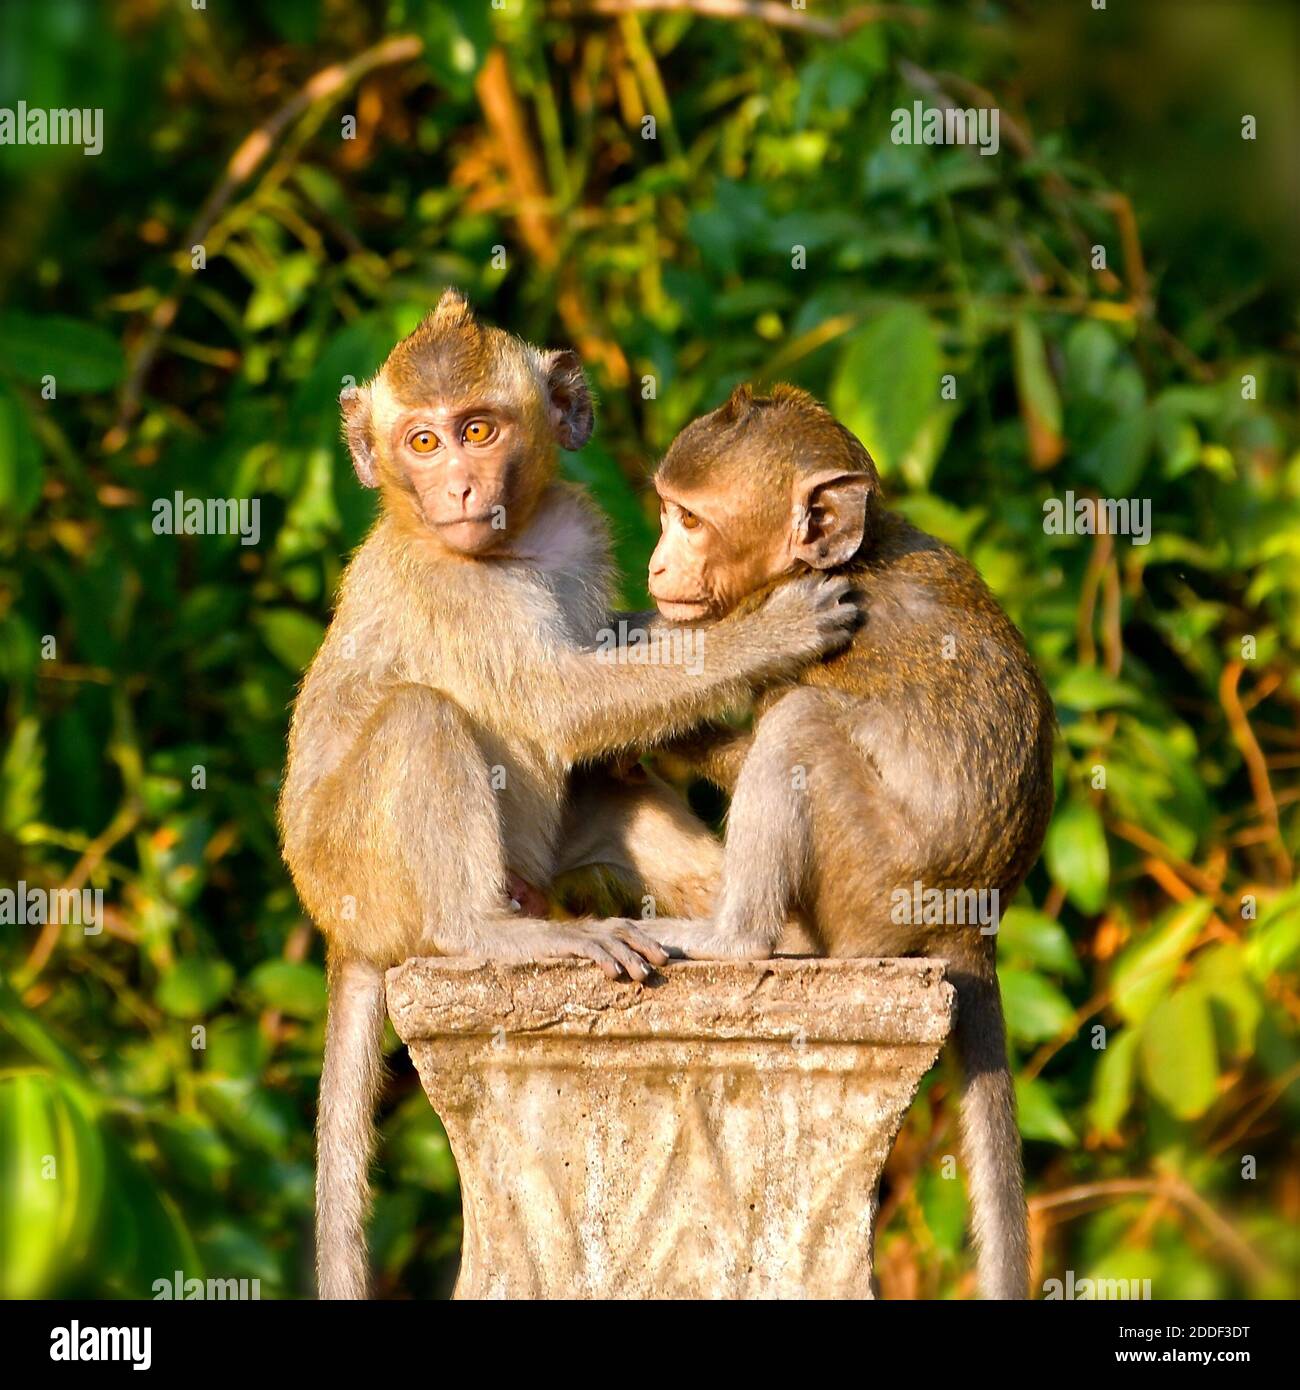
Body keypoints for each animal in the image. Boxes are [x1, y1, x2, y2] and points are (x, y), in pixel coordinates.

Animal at [277, 297, 859, 1299]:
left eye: (477, 431)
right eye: (422, 442)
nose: (459, 489)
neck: (511, 541)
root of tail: (337, 930)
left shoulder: (579, 526)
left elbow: (608, 674)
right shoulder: (456, 586)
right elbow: (560, 704)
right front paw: (767, 632)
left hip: (536, 864)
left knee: (616, 797)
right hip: (364, 877)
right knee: (420, 718)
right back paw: (493, 933)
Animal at [621, 384, 1056, 1300]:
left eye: (690, 519)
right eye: (668, 512)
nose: (656, 566)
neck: (847, 562)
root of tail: (972, 921)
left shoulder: (826, 632)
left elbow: (768, 727)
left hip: (874, 887)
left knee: (801, 727)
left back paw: (734, 938)